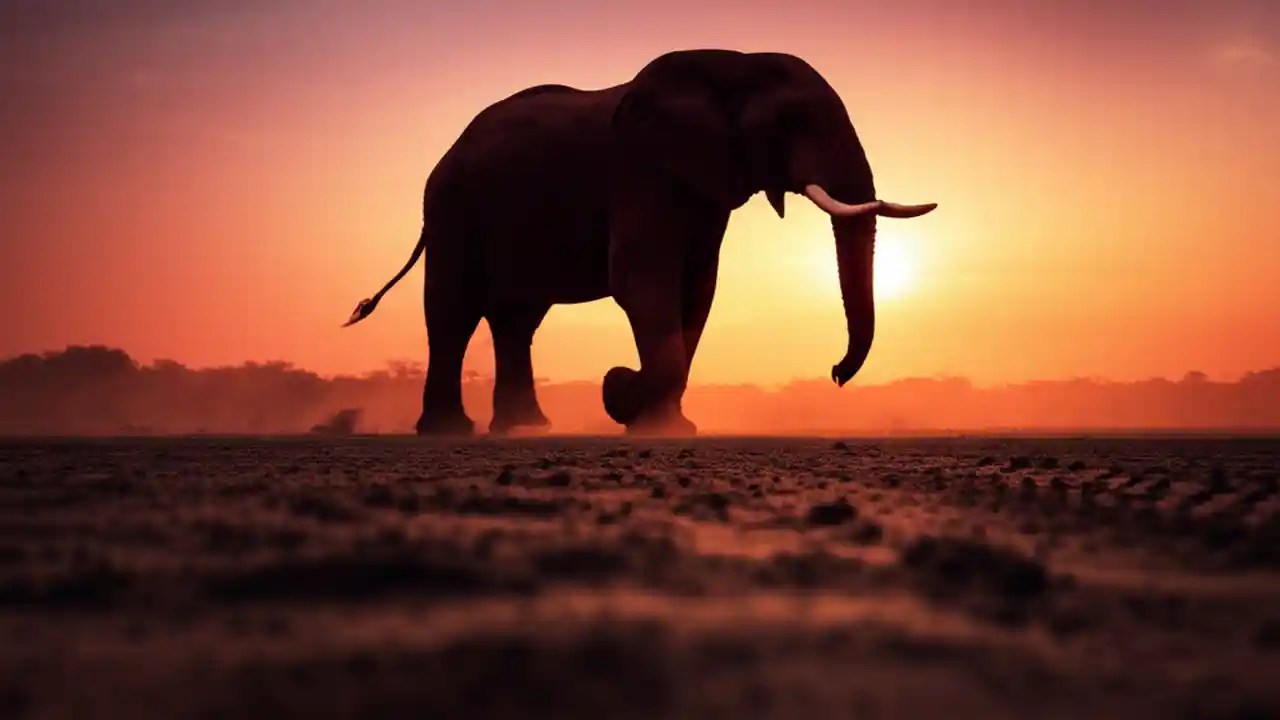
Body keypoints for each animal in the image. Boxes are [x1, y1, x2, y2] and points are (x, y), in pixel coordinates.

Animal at [345, 49, 935, 436]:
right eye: (791, 121)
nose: (835, 373)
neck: (732, 63)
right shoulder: (639, 168)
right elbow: (642, 278)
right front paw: (624, 397)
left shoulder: (703, 185)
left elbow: (697, 288)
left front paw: (662, 422)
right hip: (452, 206)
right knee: (454, 310)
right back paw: (450, 431)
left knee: (516, 318)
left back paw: (525, 429)